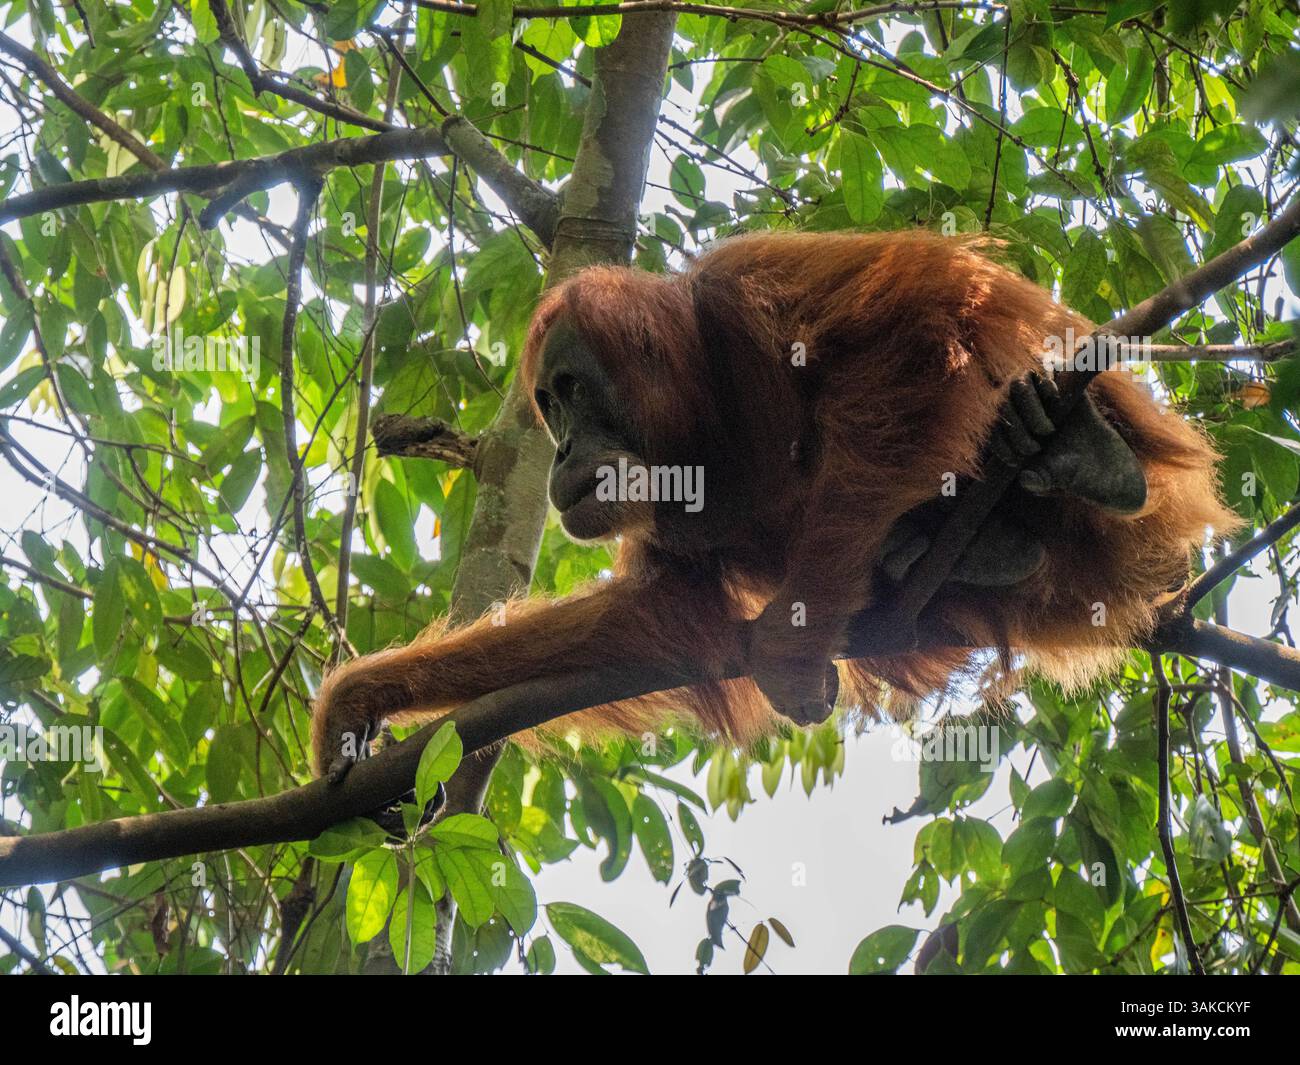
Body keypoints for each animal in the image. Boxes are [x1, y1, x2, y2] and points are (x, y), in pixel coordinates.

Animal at [311, 230, 1237, 785]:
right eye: (548, 405)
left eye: (571, 392)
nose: (564, 454)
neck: (704, 420)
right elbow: (657, 613)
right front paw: (361, 698)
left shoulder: (746, 279)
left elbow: (909, 310)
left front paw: (790, 649)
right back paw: (983, 537)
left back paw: (1083, 451)